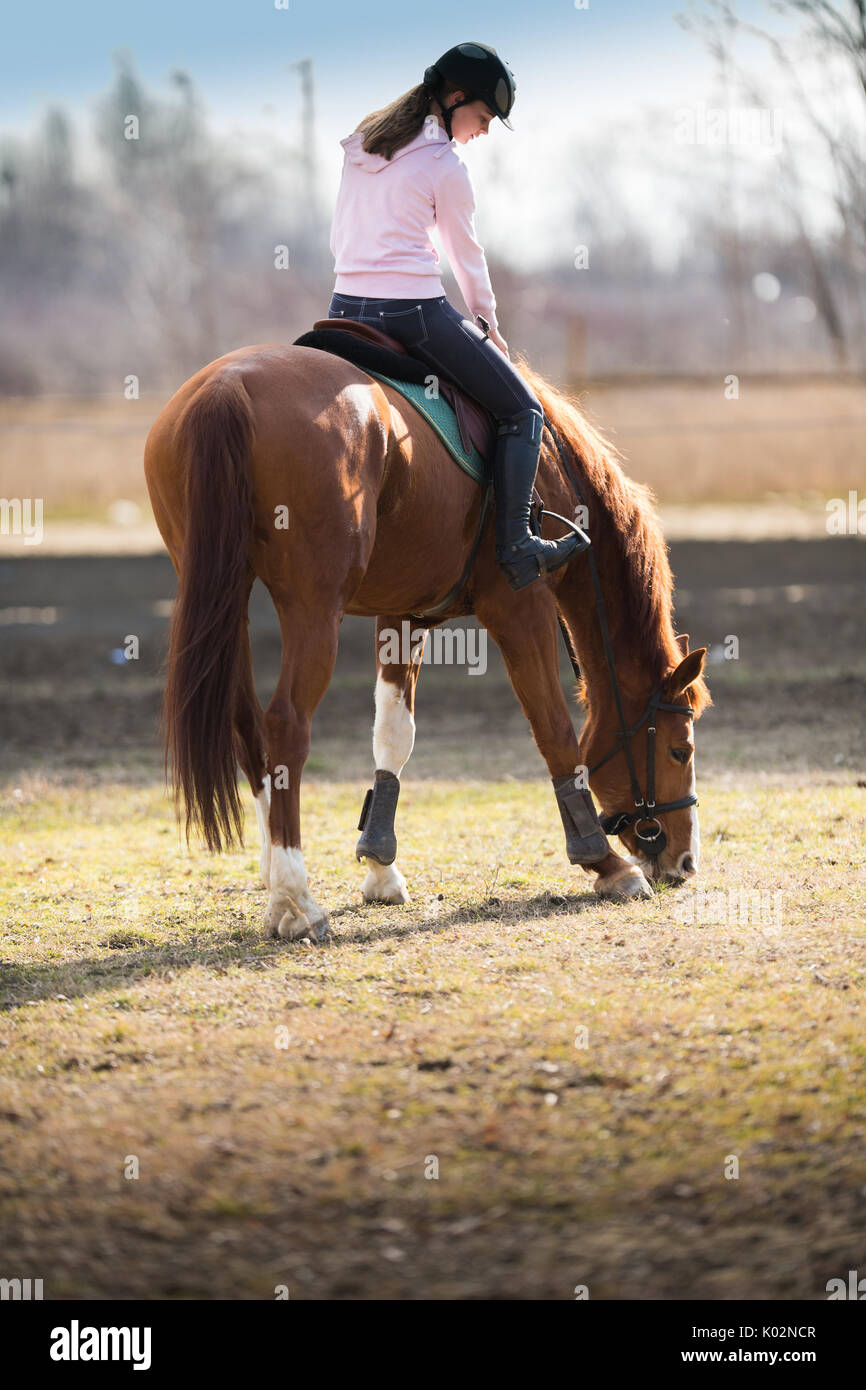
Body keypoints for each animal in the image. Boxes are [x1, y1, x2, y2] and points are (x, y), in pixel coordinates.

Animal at [143, 339, 712, 941]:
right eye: (680, 749)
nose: (684, 862)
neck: (554, 467)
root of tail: (231, 383)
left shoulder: (404, 617)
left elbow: (394, 735)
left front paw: (380, 869)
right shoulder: (520, 607)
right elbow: (554, 731)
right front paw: (605, 864)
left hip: (228, 598)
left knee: (248, 726)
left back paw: (276, 887)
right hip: (313, 607)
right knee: (286, 726)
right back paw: (299, 898)